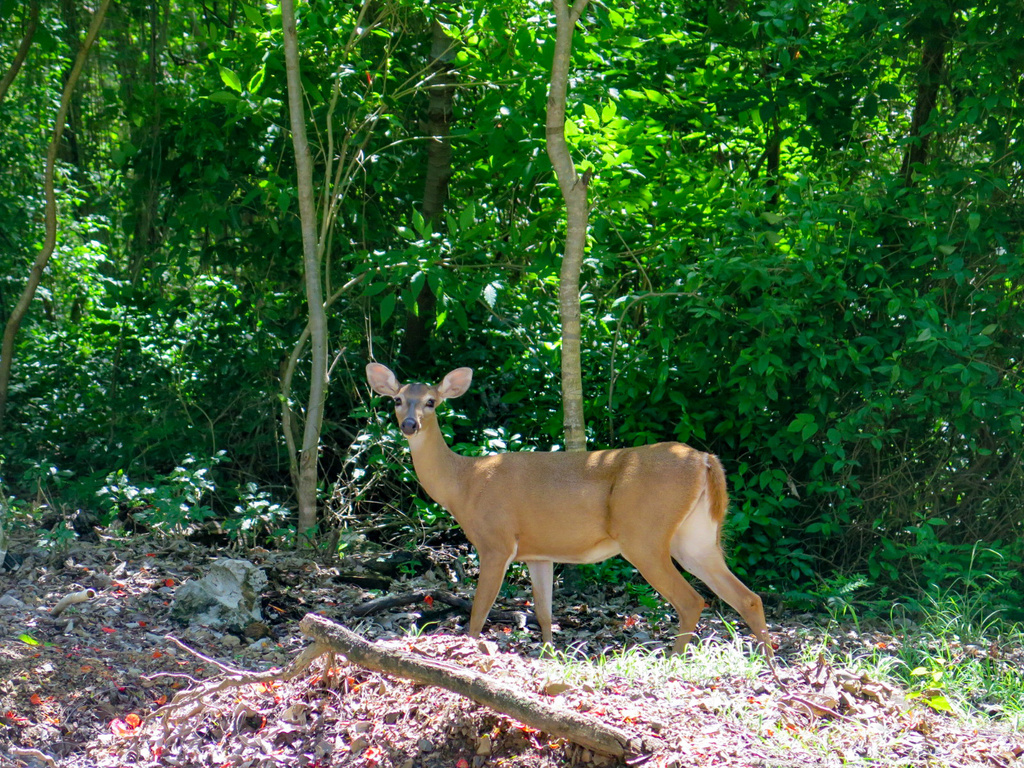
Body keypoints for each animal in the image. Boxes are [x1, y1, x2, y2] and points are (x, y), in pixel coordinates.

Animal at [366, 362, 772, 658]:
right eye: (397, 400)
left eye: (431, 401)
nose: (409, 424)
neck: (463, 483)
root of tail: (705, 459)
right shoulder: (538, 553)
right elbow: (545, 614)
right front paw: (548, 657)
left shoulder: (495, 541)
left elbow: (478, 614)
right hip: (695, 537)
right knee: (748, 597)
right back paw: (770, 670)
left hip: (644, 534)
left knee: (691, 600)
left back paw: (673, 661)